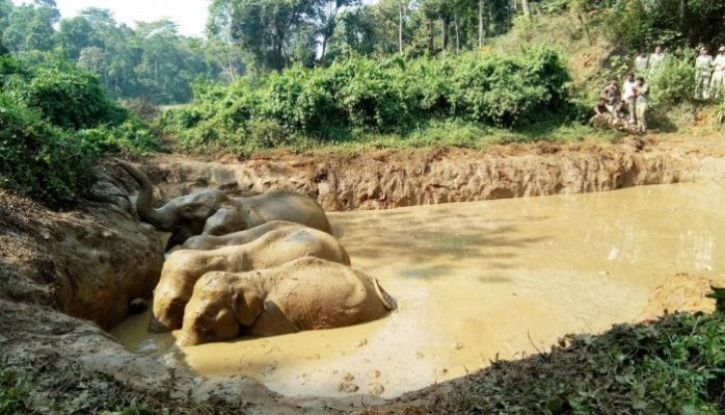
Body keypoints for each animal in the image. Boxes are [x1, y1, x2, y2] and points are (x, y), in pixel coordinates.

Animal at [178, 257, 397, 346]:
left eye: (205, 315)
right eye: (184, 309)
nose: (180, 345)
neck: (243, 279)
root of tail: (374, 281)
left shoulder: (272, 316)